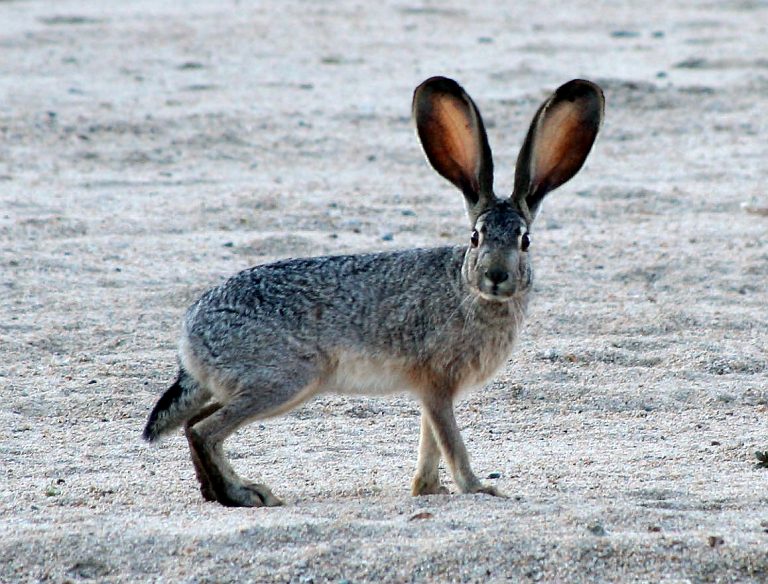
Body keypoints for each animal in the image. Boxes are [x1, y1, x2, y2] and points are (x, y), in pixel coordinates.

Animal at [142, 76, 604, 507]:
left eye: (525, 241)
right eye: (476, 237)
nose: (496, 275)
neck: (467, 289)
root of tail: (189, 336)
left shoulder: (430, 391)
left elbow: (431, 439)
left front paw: (428, 490)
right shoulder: (437, 381)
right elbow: (450, 440)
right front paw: (476, 488)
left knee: (192, 425)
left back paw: (219, 491)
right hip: (284, 380)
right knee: (206, 430)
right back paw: (245, 494)